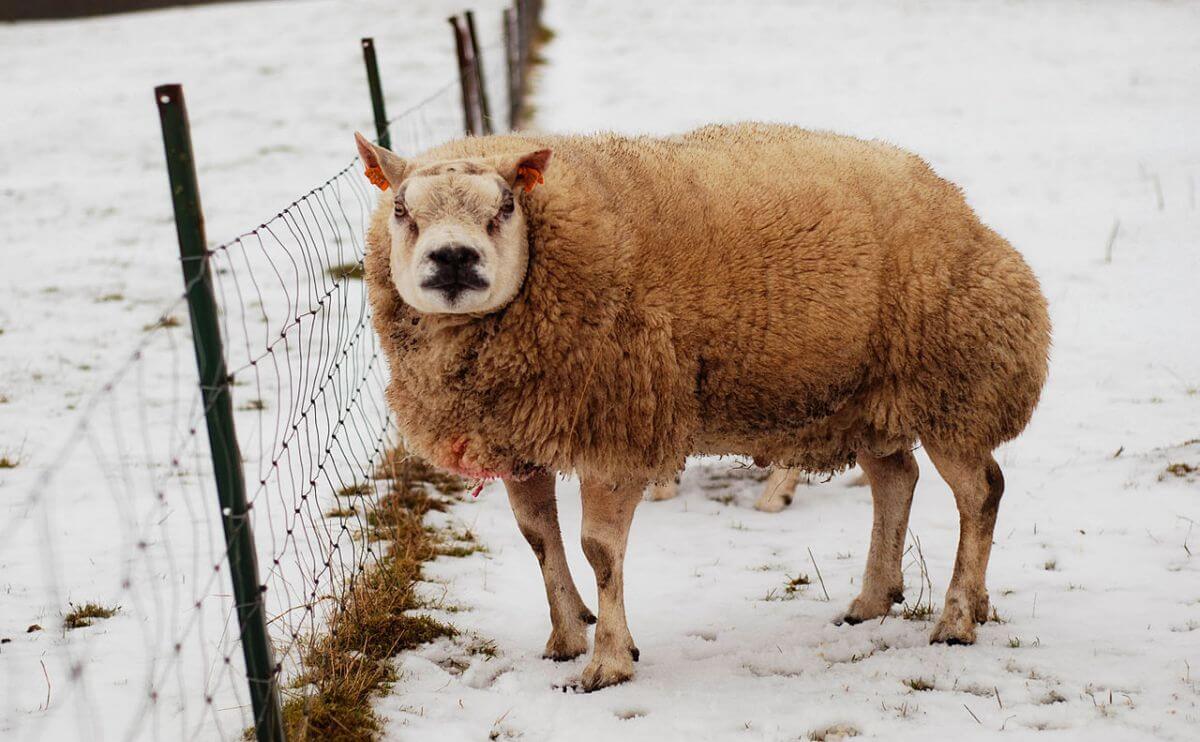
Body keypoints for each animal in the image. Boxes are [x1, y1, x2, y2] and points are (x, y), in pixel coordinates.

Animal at [353, 123, 1051, 691]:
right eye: (400, 208)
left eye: (504, 206)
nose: (453, 258)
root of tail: (958, 204)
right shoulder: (519, 437)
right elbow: (538, 538)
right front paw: (565, 636)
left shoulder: (620, 426)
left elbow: (598, 549)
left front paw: (608, 663)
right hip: (870, 397)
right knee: (896, 480)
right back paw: (876, 601)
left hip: (953, 386)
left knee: (980, 492)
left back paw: (956, 619)